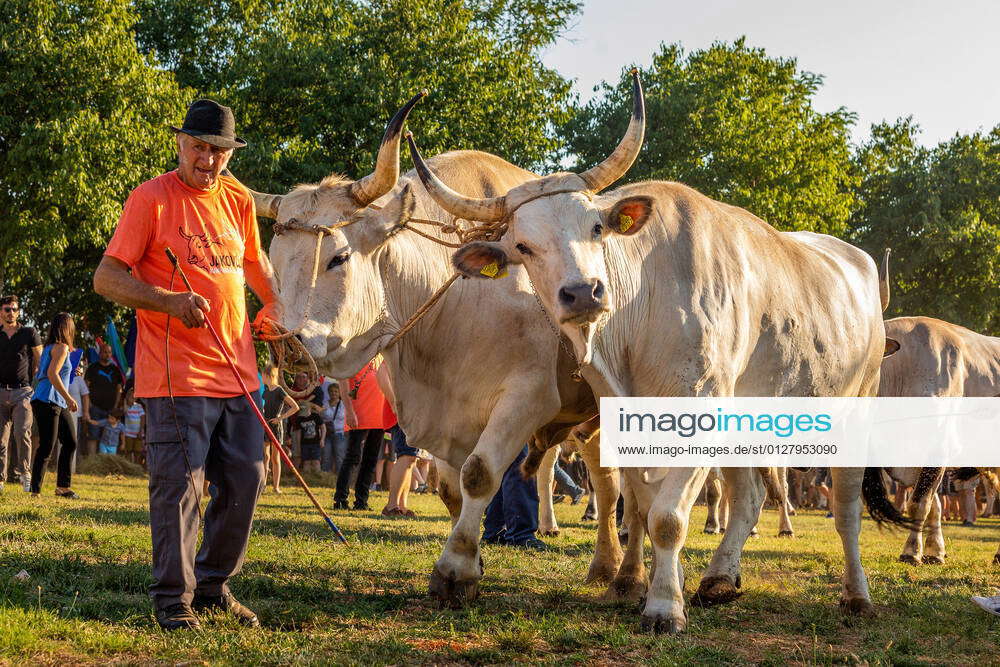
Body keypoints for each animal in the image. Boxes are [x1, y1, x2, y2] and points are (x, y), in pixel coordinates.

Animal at [242, 95, 624, 608]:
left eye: (338, 257)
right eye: (276, 262)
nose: (288, 343)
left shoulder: (527, 398)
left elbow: (480, 473)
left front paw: (454, 572)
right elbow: (449, 487)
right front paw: (474, 561)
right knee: (604, 479)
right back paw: (607, 564)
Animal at [406, 70, 912, 632]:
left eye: (597, 228)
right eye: (522, 246)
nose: (583, 293)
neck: (640, 314)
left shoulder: (704, 407)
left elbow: (668, 517)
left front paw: (664, 605)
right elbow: (643, 509)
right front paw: (647, 584)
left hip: (854, 409)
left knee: (845, 511)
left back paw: (857, 594)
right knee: (748, 499)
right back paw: (719, 580)